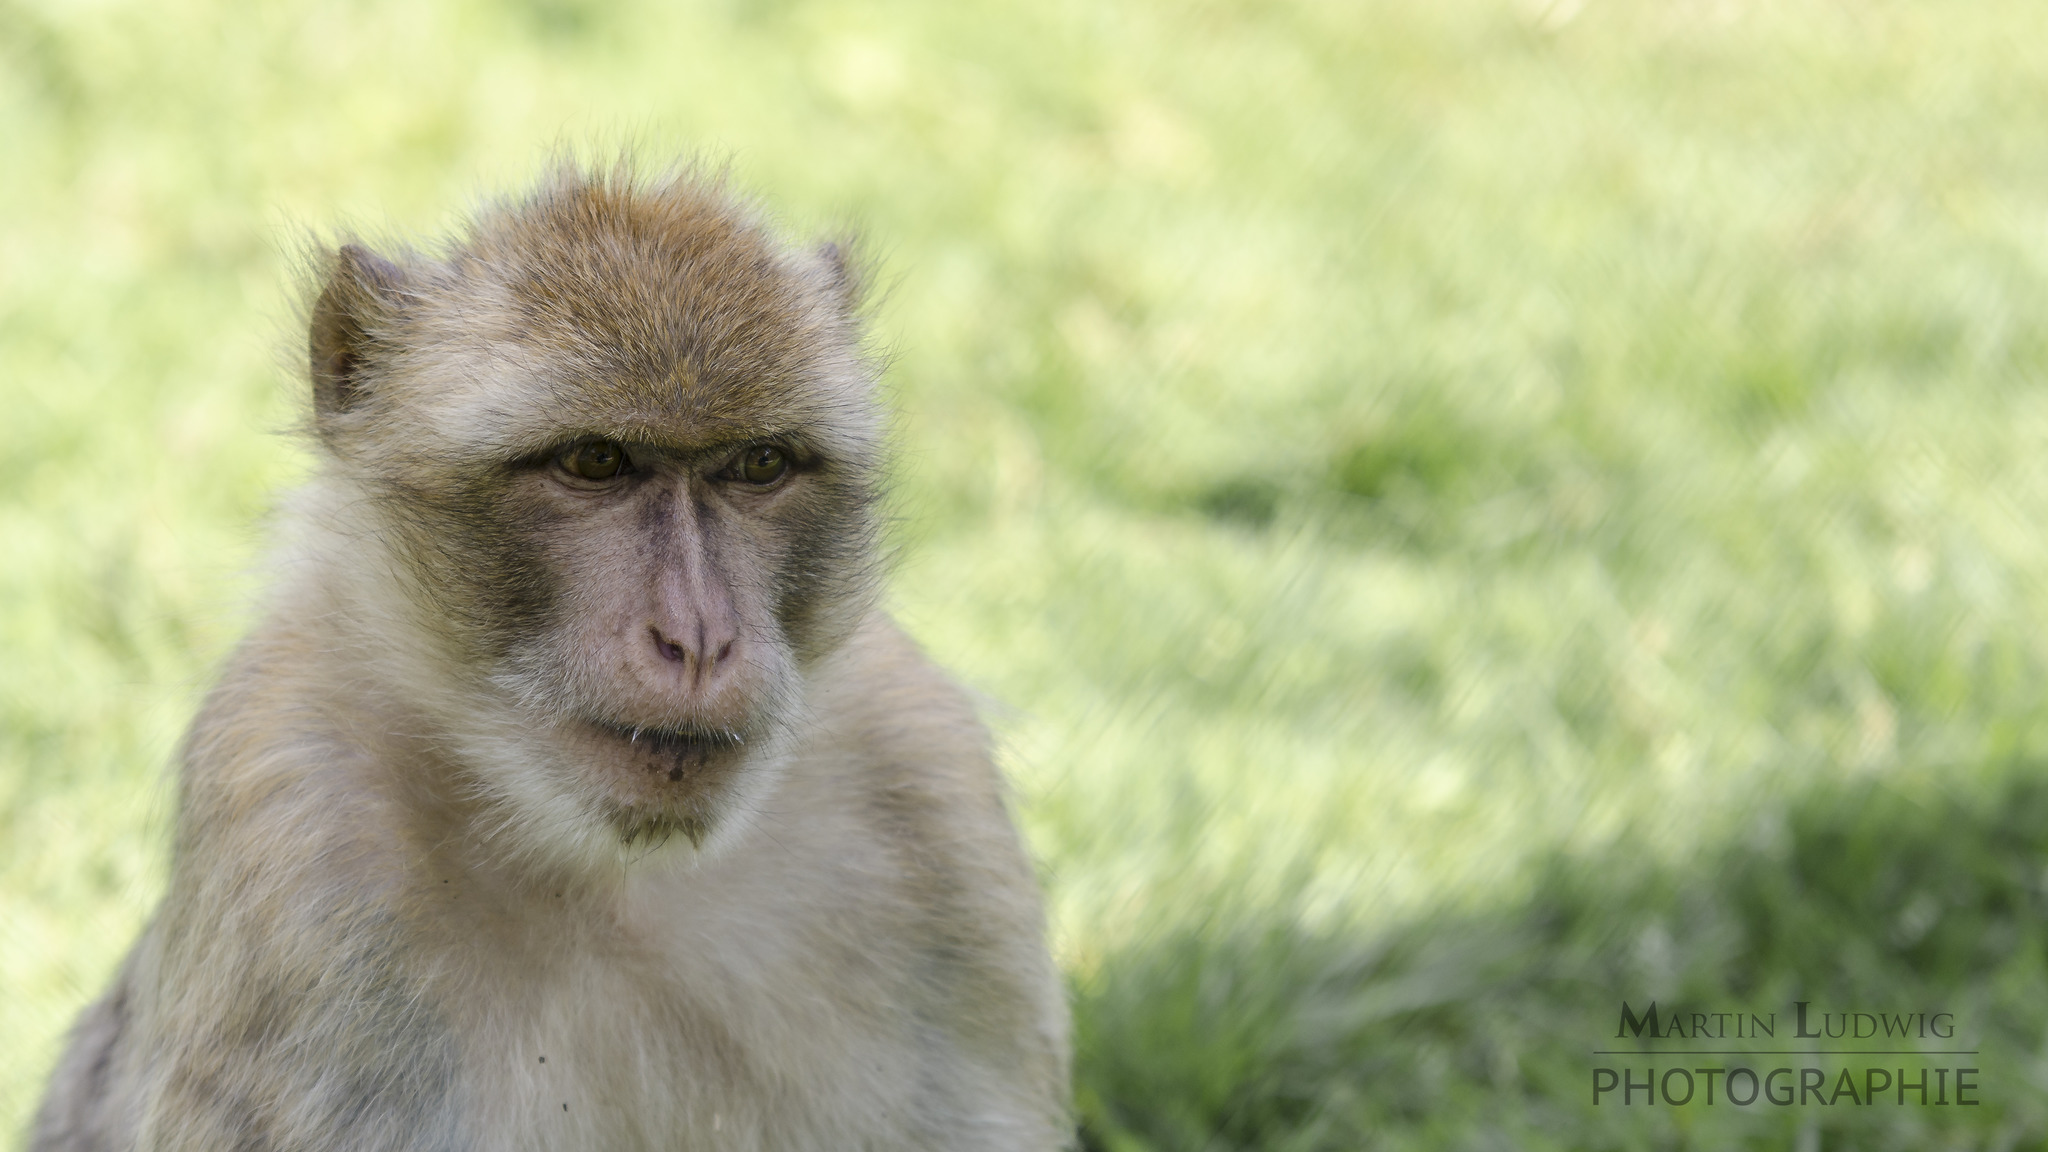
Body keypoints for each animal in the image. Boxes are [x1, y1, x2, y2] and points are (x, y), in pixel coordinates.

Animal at [29, 163, 1072, 1152]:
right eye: (595, 462)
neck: (612, 871)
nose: (698, 640)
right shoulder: (294, 830)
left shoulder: (931, 796)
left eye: (759, 466)